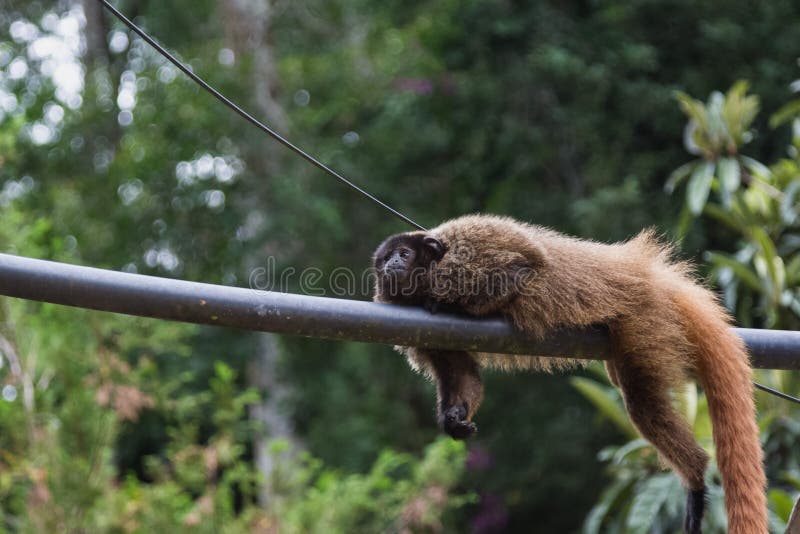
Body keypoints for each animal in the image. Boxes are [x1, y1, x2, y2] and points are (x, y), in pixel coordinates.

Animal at [372, 214, 766, 534]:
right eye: (385, 259)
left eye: (403, 254)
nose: (391, 263)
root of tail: (647, 274)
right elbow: (461, 371)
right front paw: (454, 418)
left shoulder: (466, 254)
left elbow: (520, 270)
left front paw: (446, 301)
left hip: (646, 317)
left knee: (643, 405)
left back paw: (696, 478)